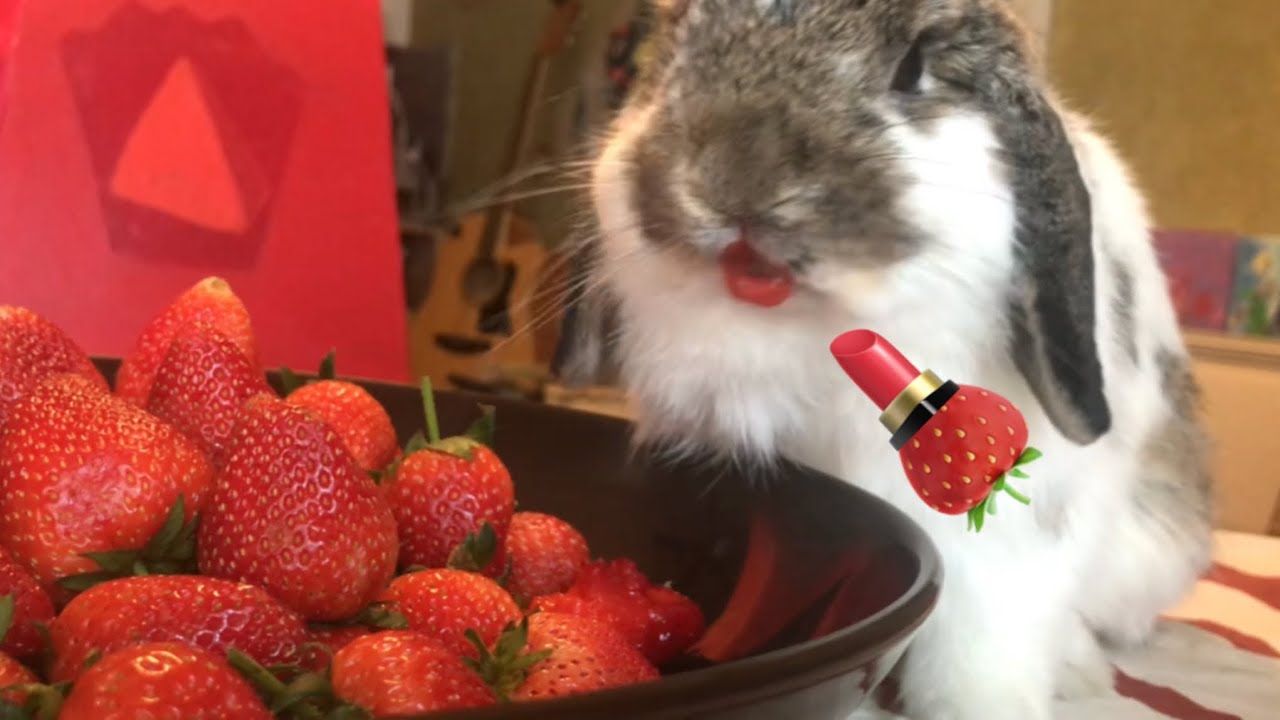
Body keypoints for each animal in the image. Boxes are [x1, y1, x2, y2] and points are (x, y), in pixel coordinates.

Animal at [557, 1, 1216, 719]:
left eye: (913, 67)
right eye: (676, 50)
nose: (736, 178)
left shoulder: (1003, 540)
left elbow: (981, 651)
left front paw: (987, 707)